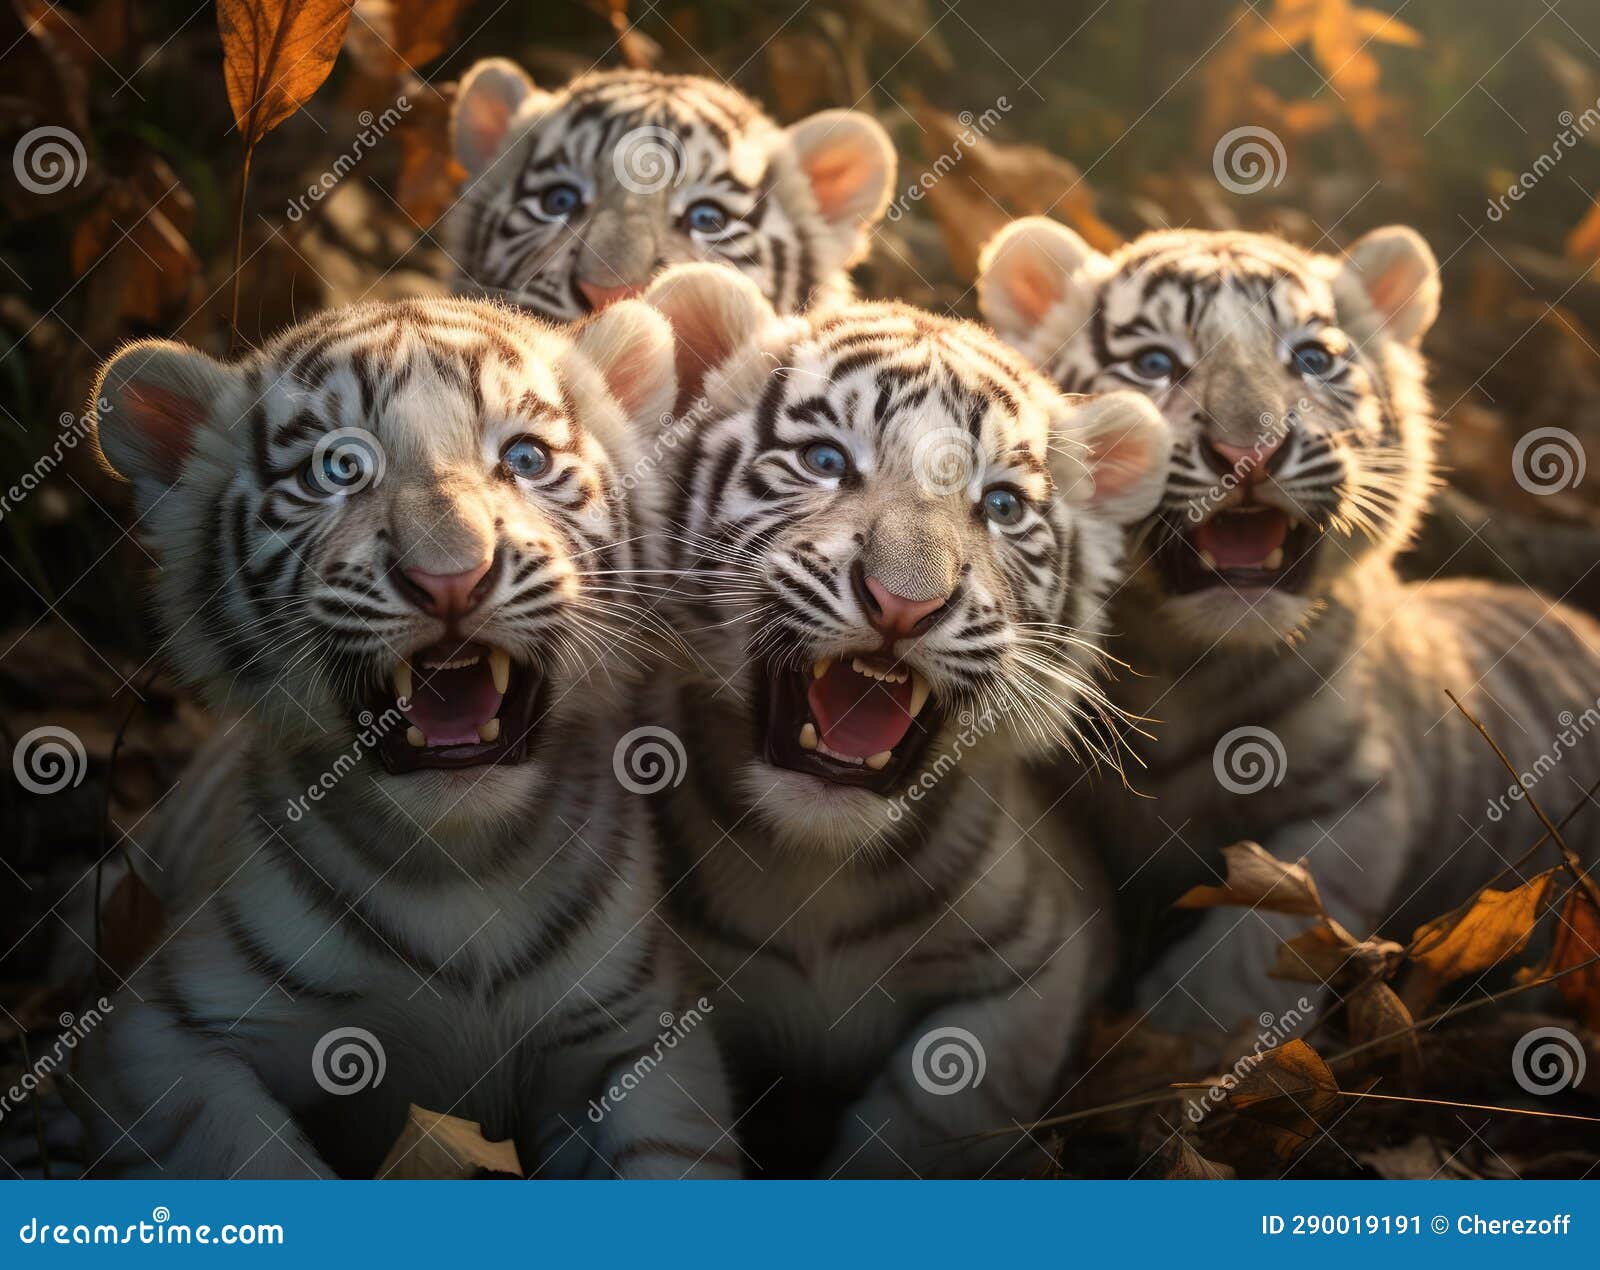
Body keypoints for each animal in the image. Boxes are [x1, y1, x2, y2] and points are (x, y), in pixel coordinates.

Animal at [70, 298, 739, 1178]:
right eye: (337, 470)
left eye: (525, 458)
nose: (451, 576)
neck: (462, 863)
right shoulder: (171, 1029)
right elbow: (256, 1156)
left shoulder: (643, 1032)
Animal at [628, 262, 1172, 1176]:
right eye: (823, 460)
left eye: (1001, 505)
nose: (906, 603)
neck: (816, 867)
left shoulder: (1031, 974)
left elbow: (934, 1111)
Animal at [977, 219, 1600, 1037]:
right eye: (1154, 364)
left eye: (1312, 360)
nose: (1249, 453)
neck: (1186, 664)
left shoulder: (1353, 796)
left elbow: (1259, 940)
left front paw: (1186, 1038)